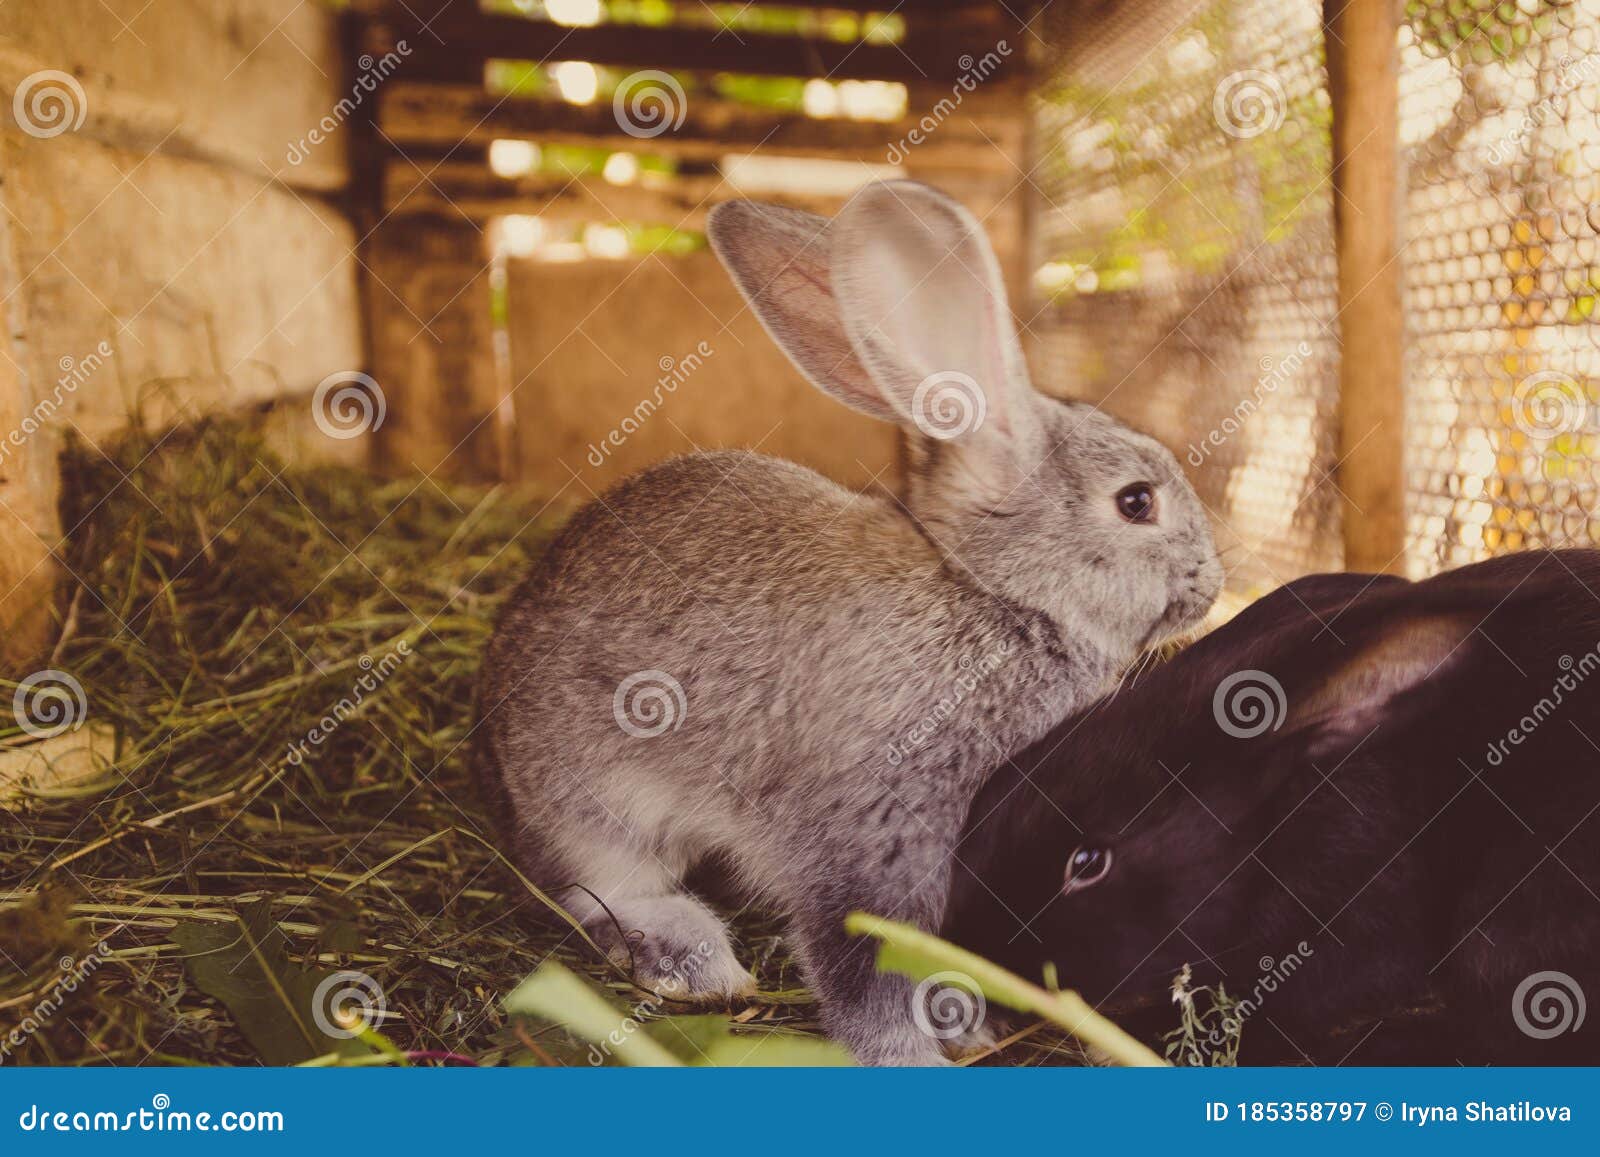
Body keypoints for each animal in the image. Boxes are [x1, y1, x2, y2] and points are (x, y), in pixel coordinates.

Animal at [472, 180, 1223, 1065]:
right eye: (1136, 501)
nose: (1212, 582)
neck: (993, 595)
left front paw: (967, 1020)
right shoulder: (870, 836)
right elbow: (864, 964)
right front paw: (910, 1055)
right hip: (592, 804)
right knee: (596, 888)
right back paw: (693, 958)